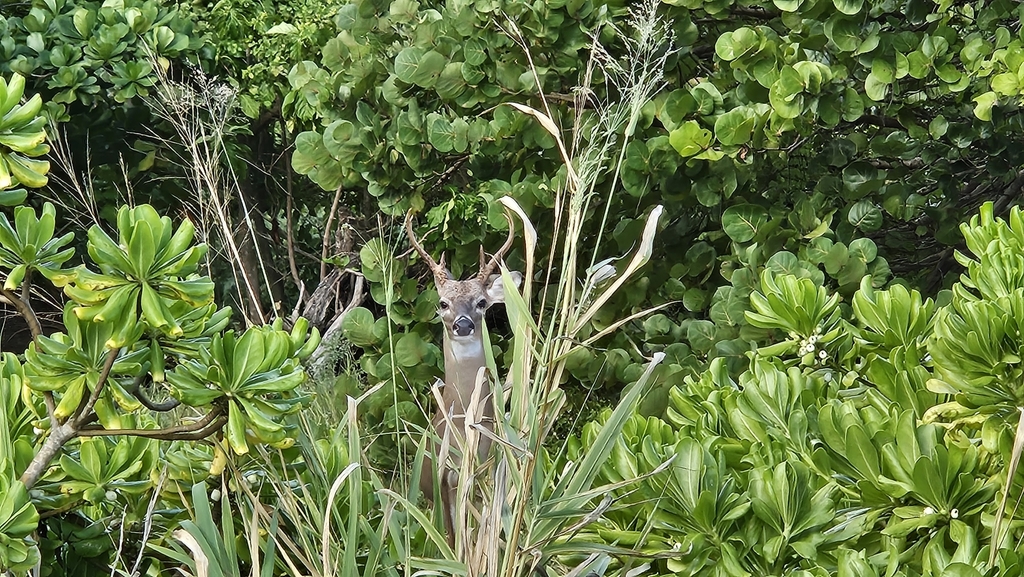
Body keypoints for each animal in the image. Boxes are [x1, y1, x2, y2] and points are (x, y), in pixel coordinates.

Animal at [404, 211, 521, 550]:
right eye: (443, 303)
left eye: (481, 302)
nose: (463, 324)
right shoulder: (443, 481)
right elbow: (454, 539)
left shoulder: (487, 472)